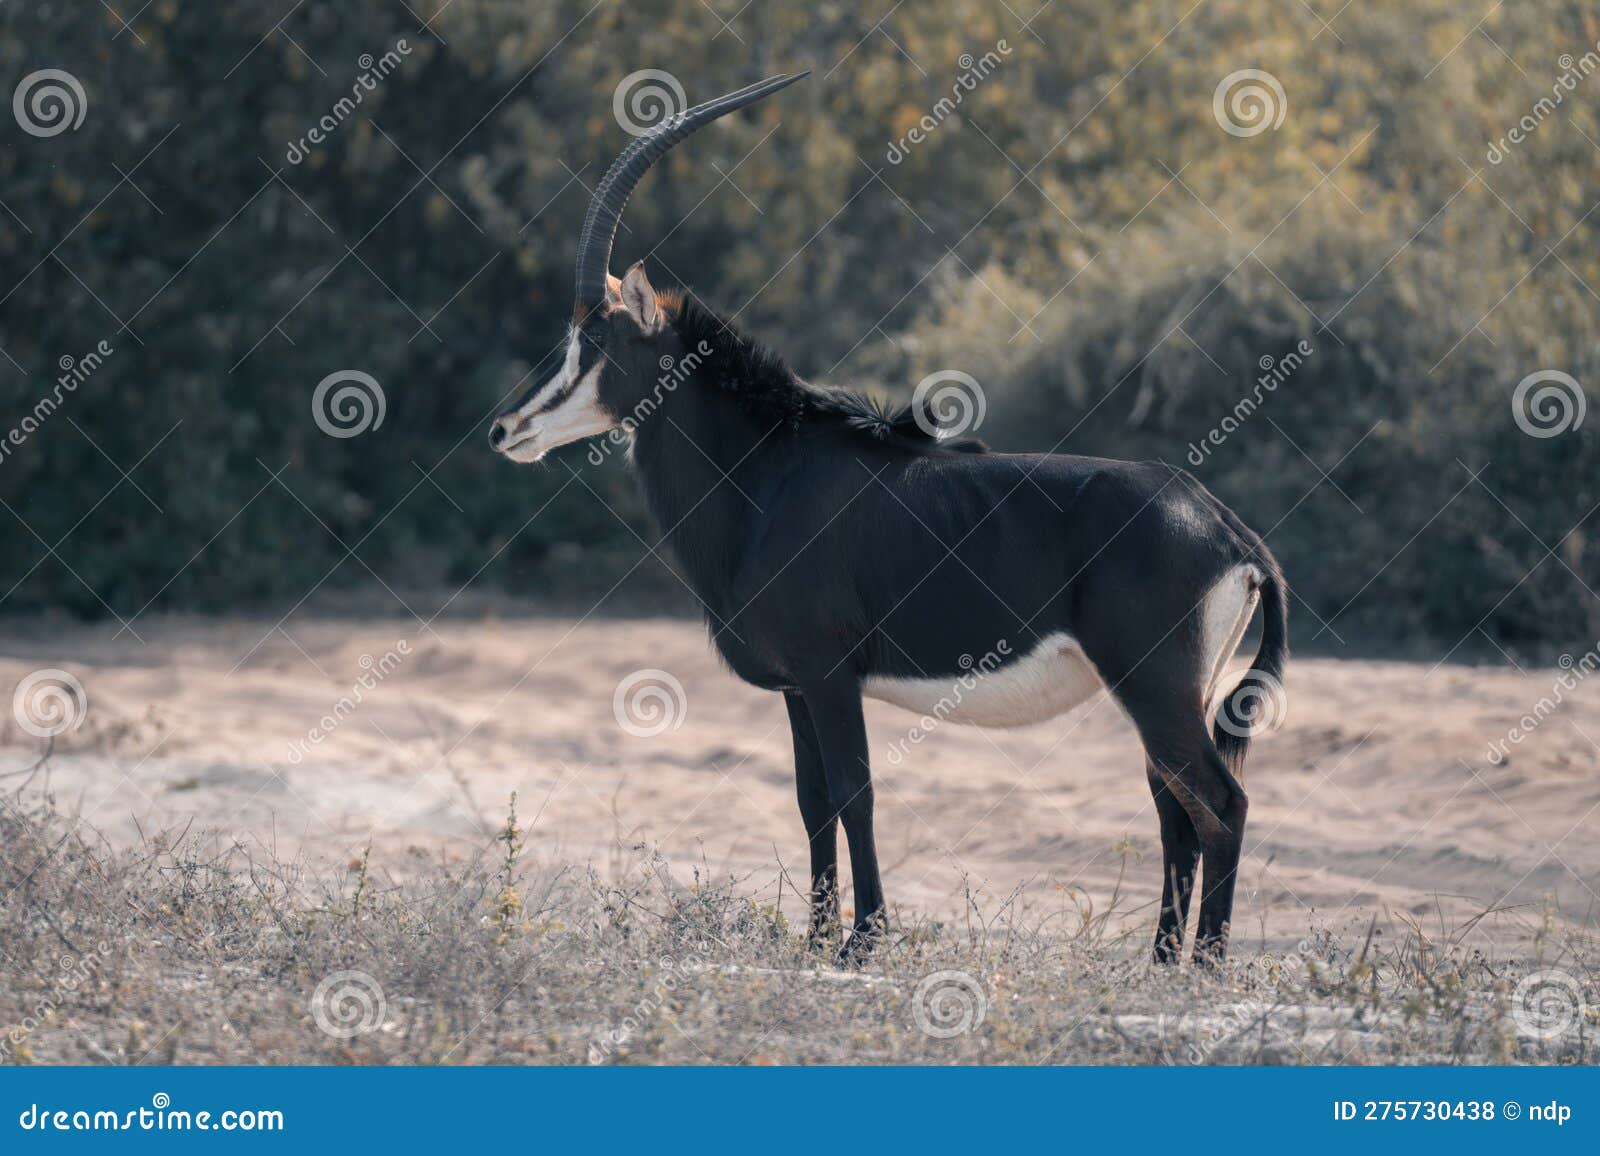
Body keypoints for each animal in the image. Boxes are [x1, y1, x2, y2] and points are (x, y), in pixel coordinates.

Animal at [489, 73, 1288, 965]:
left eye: (597, 341)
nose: (506, 430)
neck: (767, 476)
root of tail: (1232, 534)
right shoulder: (798, 688)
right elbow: (812, 801)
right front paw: (814, 939)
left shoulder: (831, 673)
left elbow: (856, 792)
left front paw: (862, 941)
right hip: (1167, 694)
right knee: (1175, 805)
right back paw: (1158, 963)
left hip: (1154, 686)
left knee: (1221, 802)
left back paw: (1203, 968)